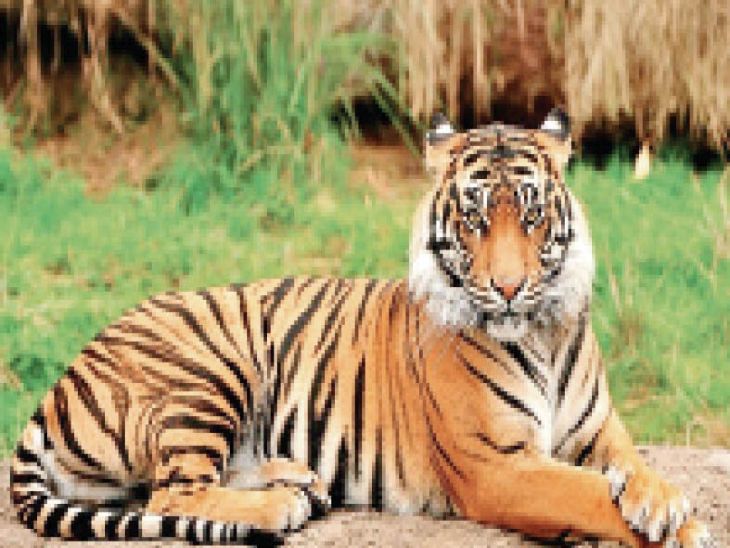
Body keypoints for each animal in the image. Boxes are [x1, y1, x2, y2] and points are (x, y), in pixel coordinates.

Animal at [10, 109, 715, 547]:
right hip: (208, 370)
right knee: (170, 494)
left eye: (533, 214)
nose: (509, 288)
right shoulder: (499, 465)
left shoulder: (598, 431)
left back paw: (296, 478)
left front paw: (662, 501)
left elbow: (633, 467)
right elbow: (588, 495)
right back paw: (281, 503)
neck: (542, 332)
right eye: (475, 219)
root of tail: (60, 381)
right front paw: (683, 528)